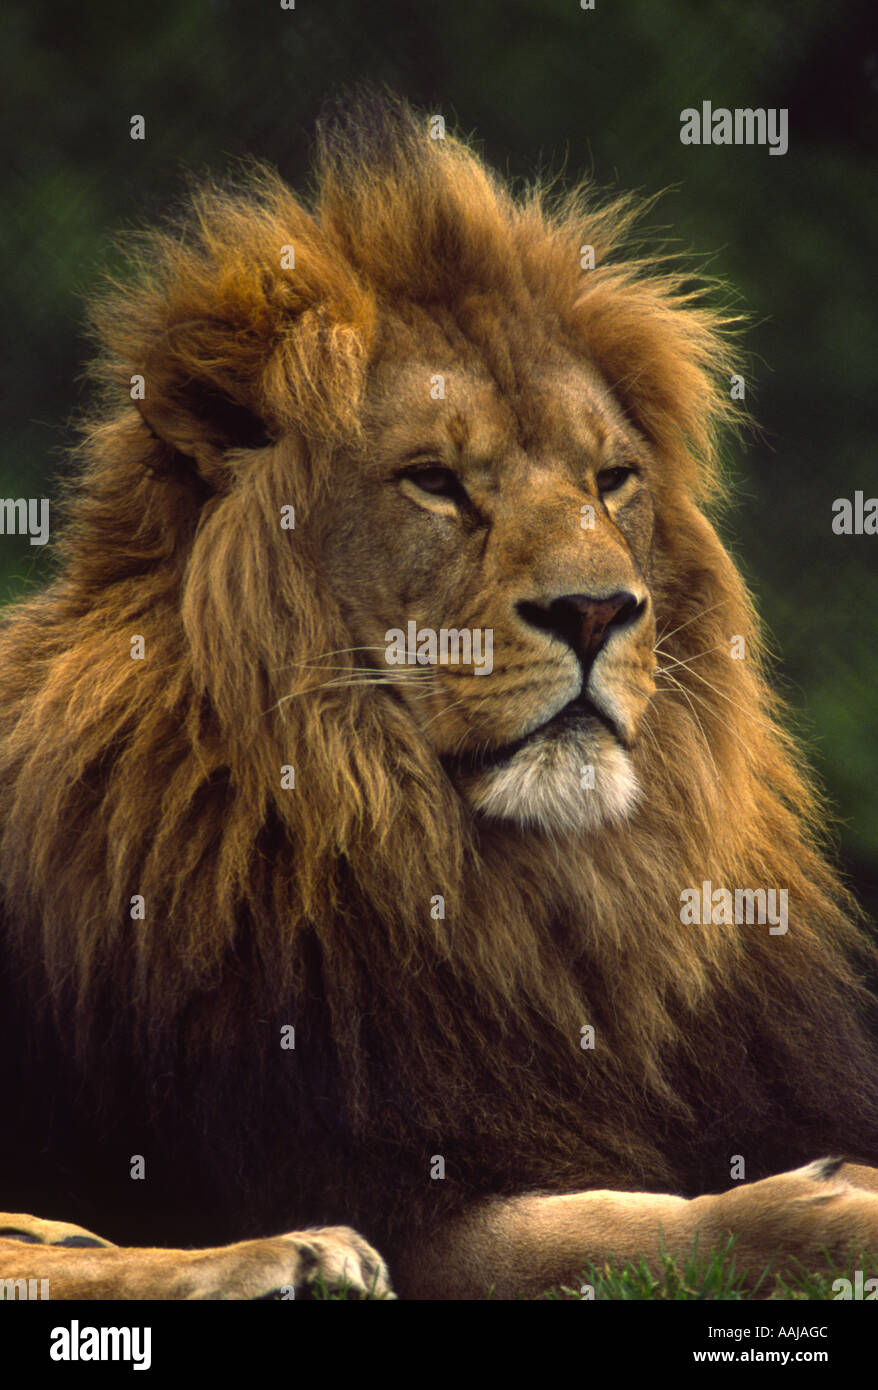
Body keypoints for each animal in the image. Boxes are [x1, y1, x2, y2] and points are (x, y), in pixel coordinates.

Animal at [2, 90, 878, 1301]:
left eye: (611, 480)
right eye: (434, 481)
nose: (596, 610)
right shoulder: (402, 1187)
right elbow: (646, 1229)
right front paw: (836, 1206)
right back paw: (293, 1258)